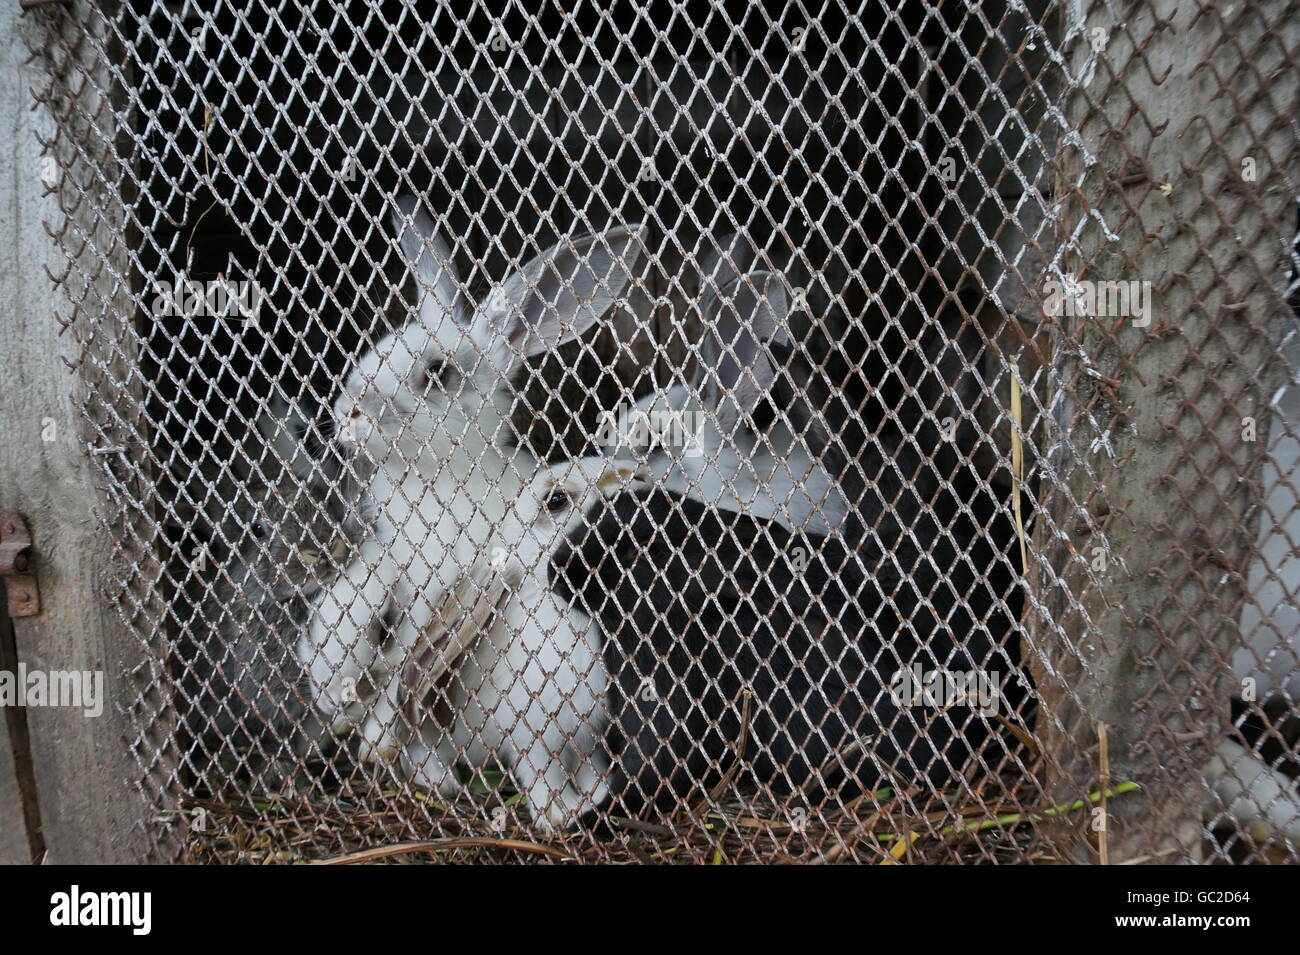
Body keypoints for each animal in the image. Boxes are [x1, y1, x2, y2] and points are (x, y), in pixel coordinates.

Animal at [299, 195, 647, 760]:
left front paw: (376, 738)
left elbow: (407, 655)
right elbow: (366, 601)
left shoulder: (447, 583)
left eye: (437, 373)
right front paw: (341, 699)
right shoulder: (395, 561)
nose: (347, 410)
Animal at [395, 457, 642, 831]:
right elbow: (542, 771)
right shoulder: (534, 732)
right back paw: (442, 782)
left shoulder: (589, 733)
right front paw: (558, 813)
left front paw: (595, 795)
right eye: (556, 500)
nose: (633, 482)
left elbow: (589, 765)